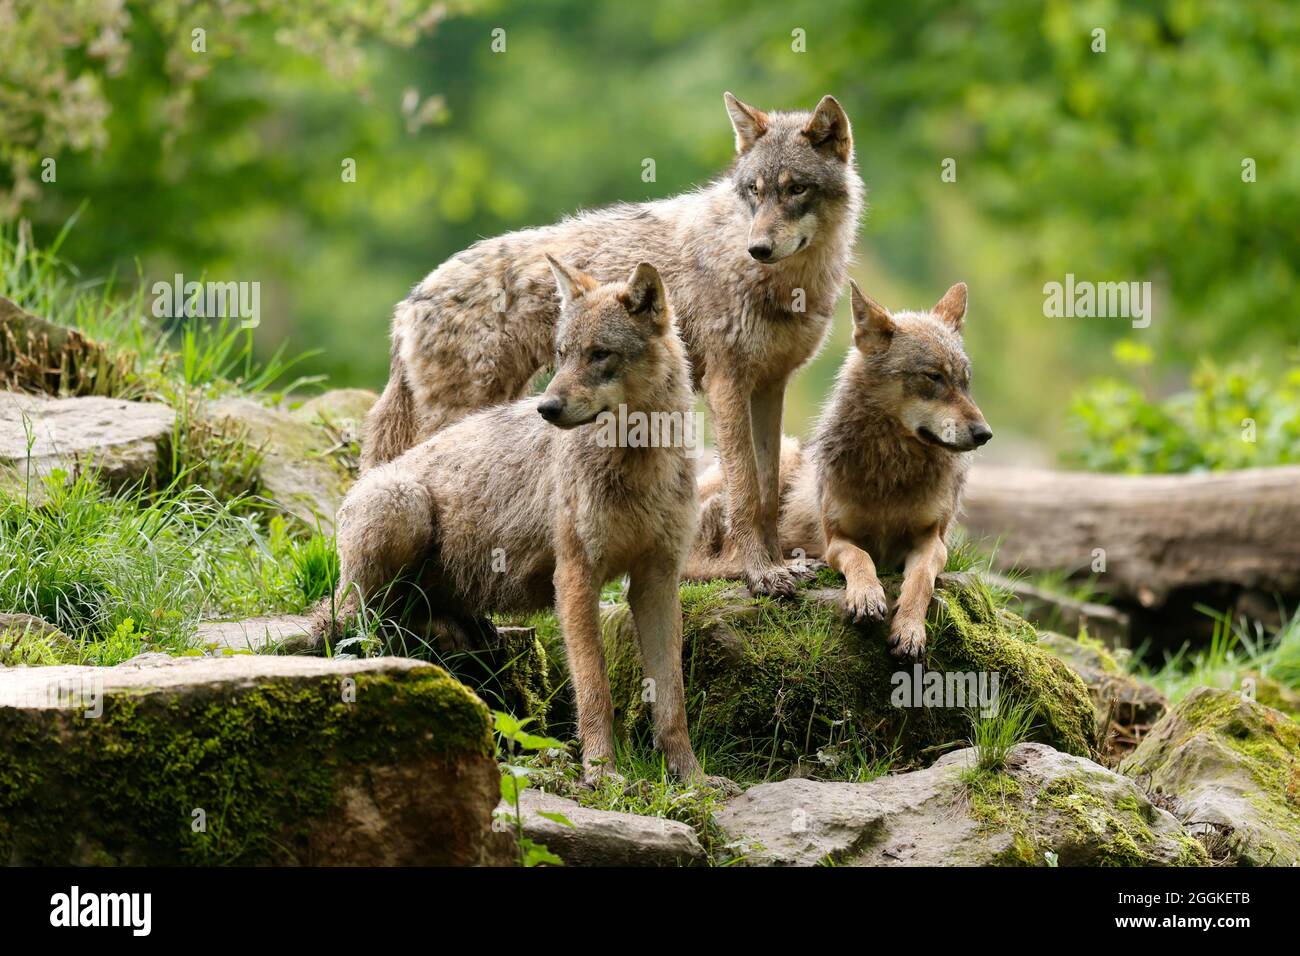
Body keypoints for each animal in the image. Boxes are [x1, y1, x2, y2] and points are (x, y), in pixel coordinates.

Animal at [317, 259, 702, 781]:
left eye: (599, 354)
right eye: (561, 354)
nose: (546, 408)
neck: (638, 464)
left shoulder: (657, 580)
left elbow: (672, 699)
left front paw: (692, 778)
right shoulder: (576, 578)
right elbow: (594, 689)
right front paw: (602, 772)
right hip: (403, 508)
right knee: (353, 621)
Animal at [361, 93, 865, 598]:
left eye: (796, 189)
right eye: (755, 191)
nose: (757, 247)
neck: (782, 284)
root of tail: (409, 301)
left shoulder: (770, 386)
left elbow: (768, 489)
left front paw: (780, 564)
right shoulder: (728, 386)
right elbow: (744, 491)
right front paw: (759, 573)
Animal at [687, 280, 991, 659]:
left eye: (965, 382)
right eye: (933, 377)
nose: (984, 433)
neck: (891, 472)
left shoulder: (933, 541)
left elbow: (920, 582)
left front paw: (909, 630)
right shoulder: (837, 539)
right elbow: (861, 558)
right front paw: (866, 596)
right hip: (777, 460)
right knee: (707, 563)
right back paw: (793, 567)